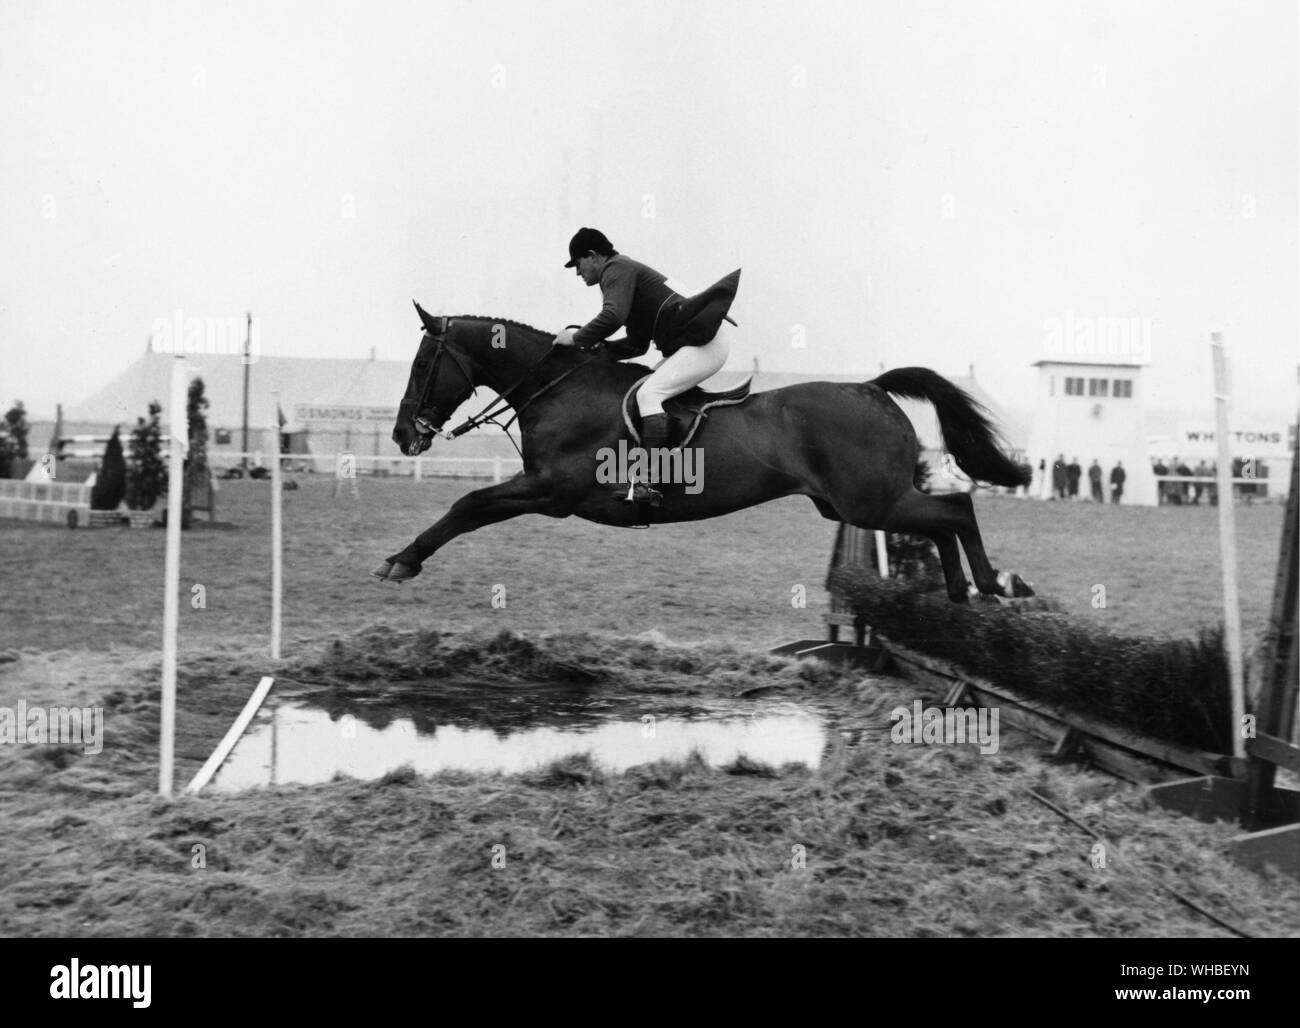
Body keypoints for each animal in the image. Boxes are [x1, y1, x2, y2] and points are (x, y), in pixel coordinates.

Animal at [372, 304, 1034, 603]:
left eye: (423, 365)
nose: (405, 435)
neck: (557, 388)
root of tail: (871, 388)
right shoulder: (544, 489)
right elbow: (470, 506)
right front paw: (403, 558)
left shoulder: (551, 490)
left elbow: (467, 505)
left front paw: (402, 560)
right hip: (855, 504)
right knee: (942, 519)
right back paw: (962, 591)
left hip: (867, 502)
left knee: (954, 511)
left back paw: (998, 584)